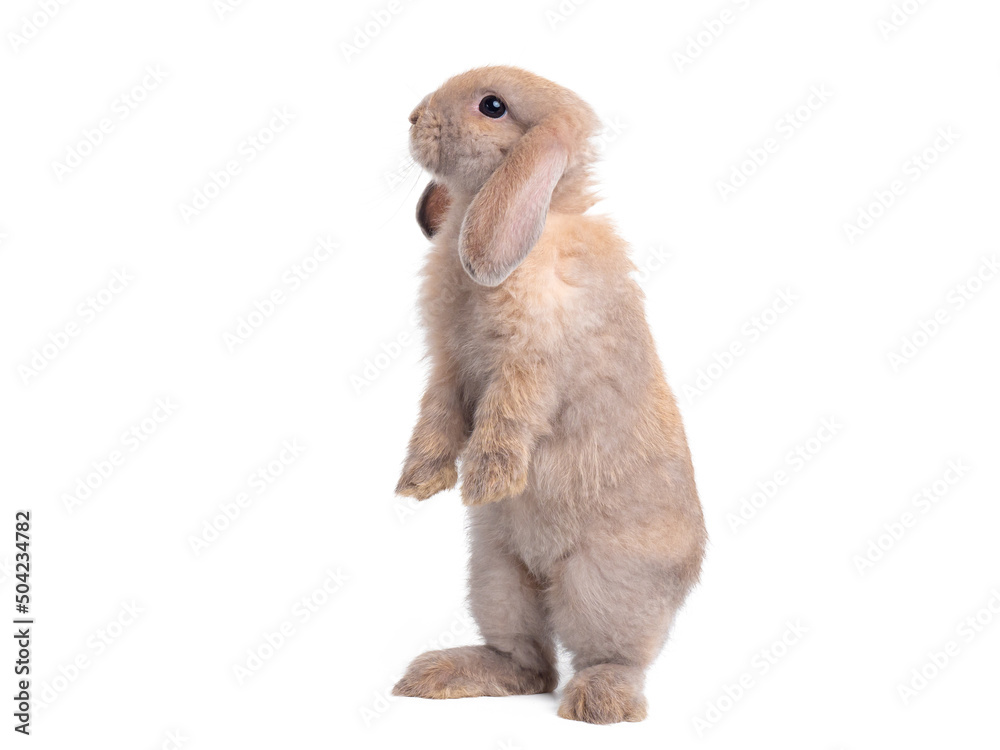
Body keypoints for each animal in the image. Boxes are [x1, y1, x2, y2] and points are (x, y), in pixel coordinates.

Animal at [392, 66, 706, 724]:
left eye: (492, 107)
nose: (412, 117)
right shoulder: (449, 366)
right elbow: (437, 416)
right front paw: (420, 482)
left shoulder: (531, 365)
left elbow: (507, 417)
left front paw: (485, 481)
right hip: (494, 573)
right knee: (529, 661)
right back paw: (444, 674)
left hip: (601, 585)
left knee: (607, 655)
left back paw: (599, 702)